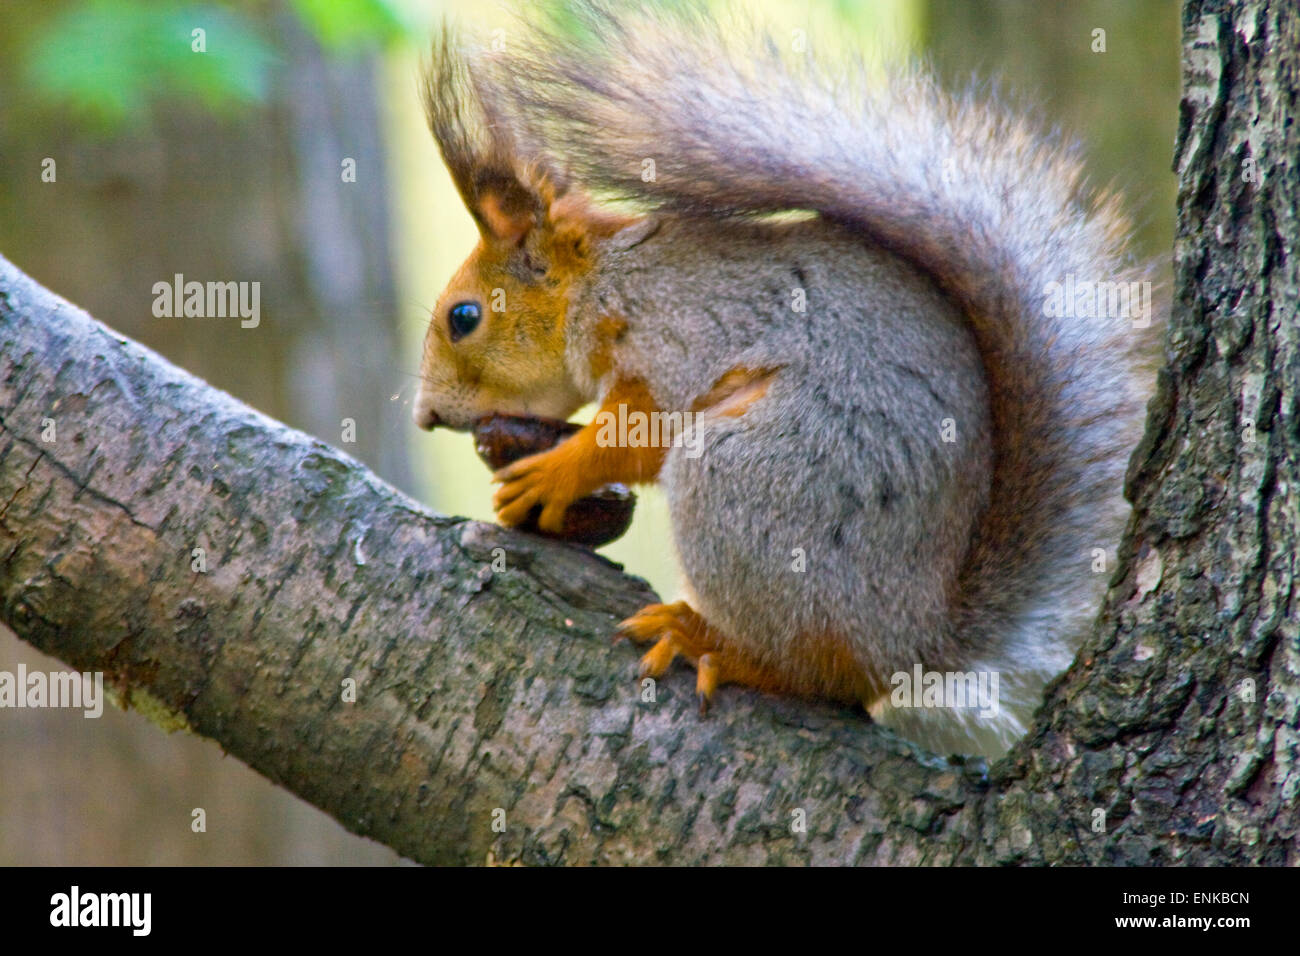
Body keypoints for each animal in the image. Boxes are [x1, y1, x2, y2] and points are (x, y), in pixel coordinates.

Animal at [412, 2, 1159, 756]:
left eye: (464, 317)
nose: (423, 415)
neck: (601, 281)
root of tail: (915, 638)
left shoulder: (682, 339)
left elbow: (639, 433)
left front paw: (555, 472)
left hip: (755, 482)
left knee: (827, 675)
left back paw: (712, 642)